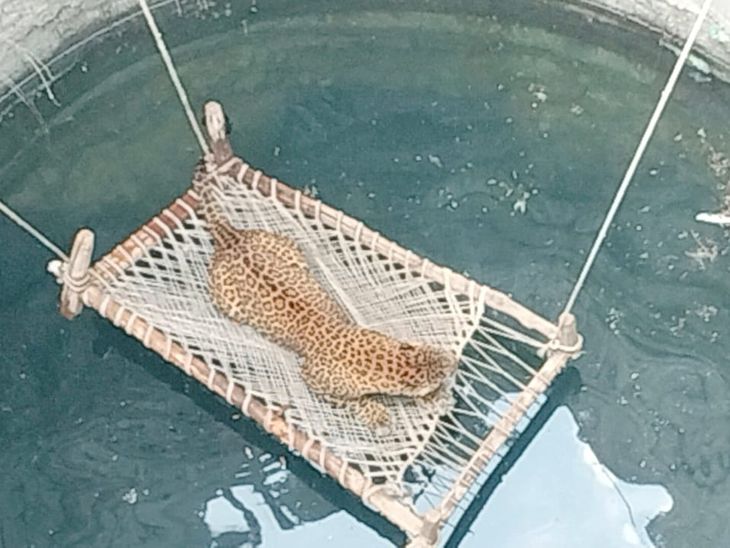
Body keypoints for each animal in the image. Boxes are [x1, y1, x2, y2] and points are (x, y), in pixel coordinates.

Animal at [193, 101, 458, 433]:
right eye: (440, 369)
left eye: (437, 354)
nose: (454, 361)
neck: (381, 358)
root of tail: (230, 235)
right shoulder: (313, 380)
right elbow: (351, 400)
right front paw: (378, 412)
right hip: (227, 301)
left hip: (287, 248)